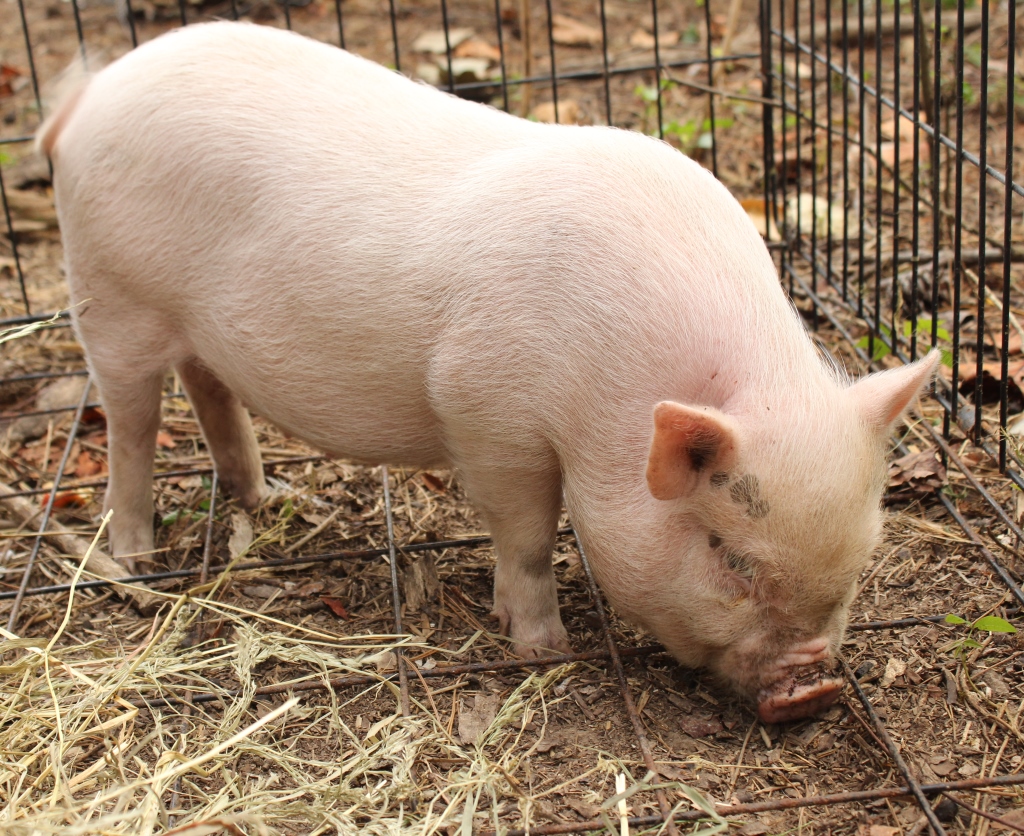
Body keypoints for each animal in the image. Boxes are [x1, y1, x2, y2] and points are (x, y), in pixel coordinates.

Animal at [38, 21, 938, 723]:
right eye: (733, 559)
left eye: (865, 555)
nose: (812, 684)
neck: (616, 392)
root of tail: (89, 97)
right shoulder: (485, 408)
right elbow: (530, 537)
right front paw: (545, 650)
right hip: (108, 298)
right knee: (131, 426)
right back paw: (134, 558)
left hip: (191, 329)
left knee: (209, 388)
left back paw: (268, 497)